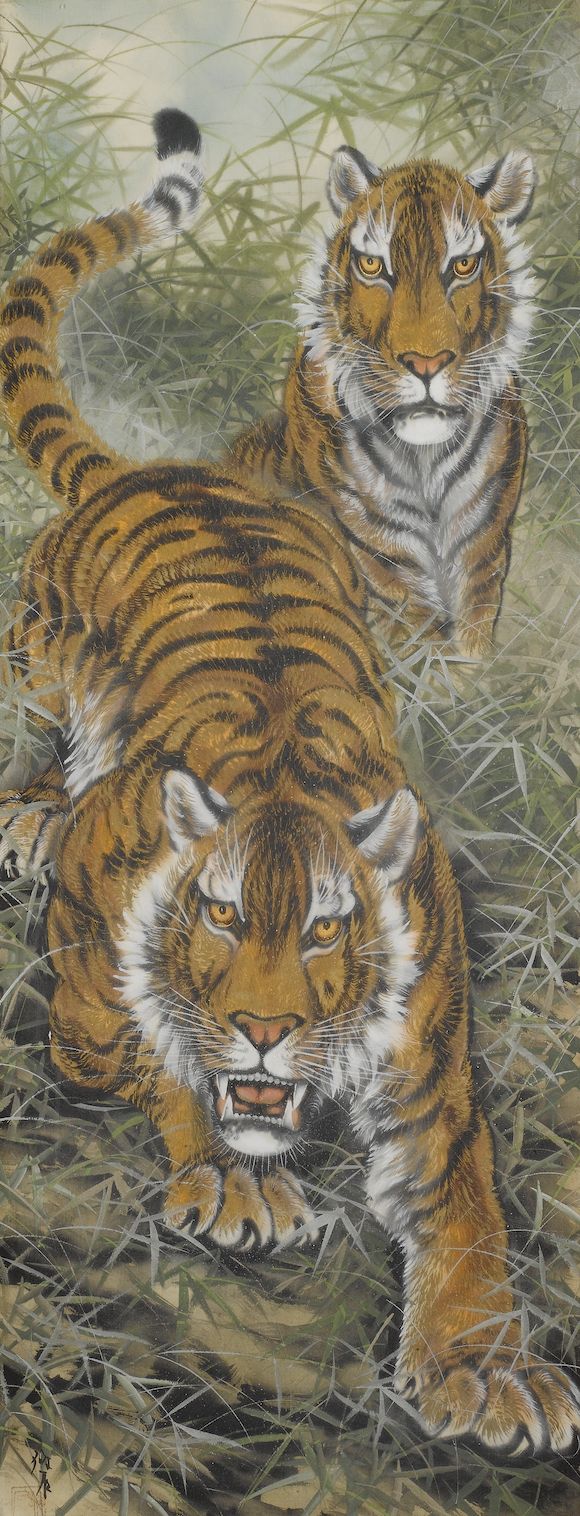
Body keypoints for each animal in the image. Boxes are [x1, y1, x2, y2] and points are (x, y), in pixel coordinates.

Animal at [231, 142, 536, 657]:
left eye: (462, 265)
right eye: (373, 266)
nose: (426, 364)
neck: (426, 461)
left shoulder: (483, 545)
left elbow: (471, 639)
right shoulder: (380, 549)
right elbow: (420, 641)